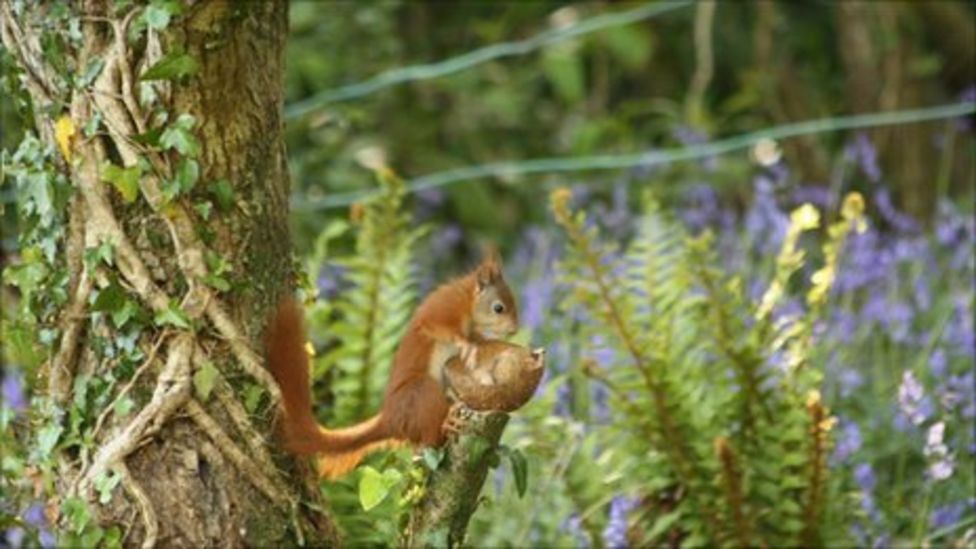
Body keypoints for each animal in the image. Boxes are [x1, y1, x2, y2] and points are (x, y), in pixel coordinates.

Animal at [265, 250, 519, 479]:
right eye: (498, 308)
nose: (515, 329)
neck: (467, 302)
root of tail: (392, 419)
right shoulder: (443, 308)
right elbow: (438, 326)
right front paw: (465, 344)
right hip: (422, 392)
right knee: (429, 439)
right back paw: (447, 425)